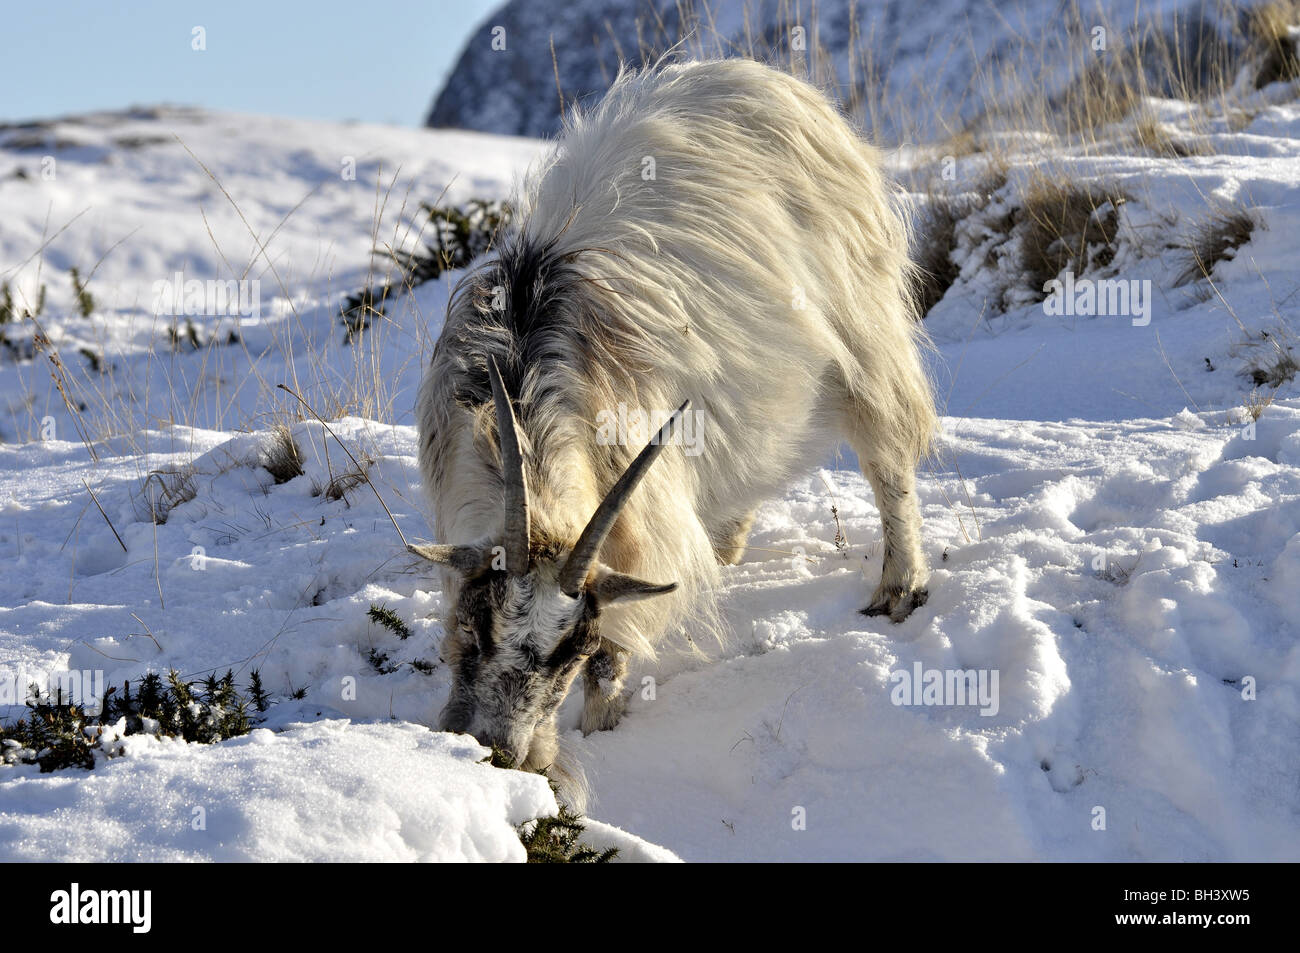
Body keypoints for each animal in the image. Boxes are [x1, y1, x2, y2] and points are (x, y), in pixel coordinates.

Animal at [412, 58, 937, 781]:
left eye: (571, 650)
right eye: (474, 625)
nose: (500, 752)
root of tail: (766, 78)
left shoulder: (638, 511)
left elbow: (616, 653)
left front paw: (601, 732)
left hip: (865, 333)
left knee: (889, 457)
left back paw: (898, 586)